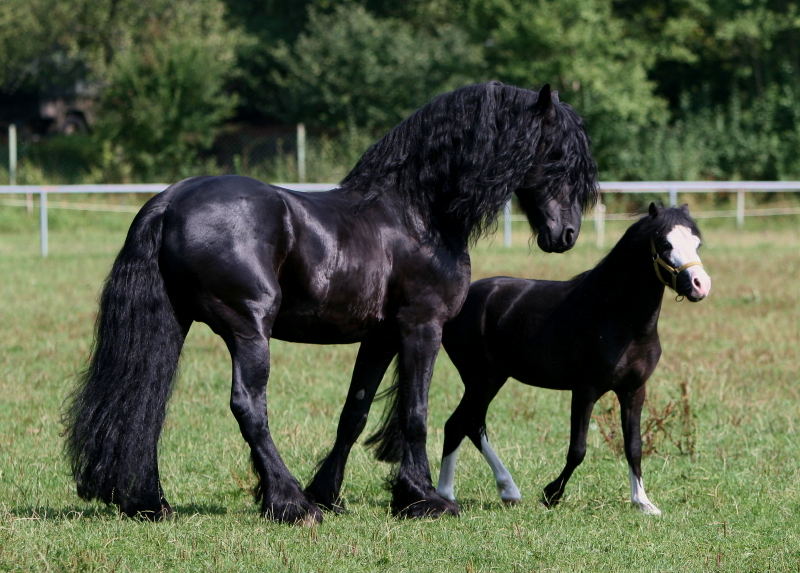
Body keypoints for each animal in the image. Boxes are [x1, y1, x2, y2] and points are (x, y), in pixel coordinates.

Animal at [63, 82, 598, 524]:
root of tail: (170, 201)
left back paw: (152, 501)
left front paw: (331, 492)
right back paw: (290, 504)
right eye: (557, 154)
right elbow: (416, 413)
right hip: (247, 327)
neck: (417, 213)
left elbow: (353, 413)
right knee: (248, 407)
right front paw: (424, 499)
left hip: (175, 324)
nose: (567, 234)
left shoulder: (380, 337)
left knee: (146, 404)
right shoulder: (421, 327)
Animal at [434, 203, 711, 515]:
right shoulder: (585, 390)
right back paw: (451, 493)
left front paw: (643, 502)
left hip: (491, 379)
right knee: (459, 424)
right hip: (481, 379)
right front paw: (552, 494)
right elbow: (578, 449)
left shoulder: (633, 390)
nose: (700, 285)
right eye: (665, 244)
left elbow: (634, 446)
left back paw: (504, 491)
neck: (618, 317)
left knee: (468, 424)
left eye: (697, 243)